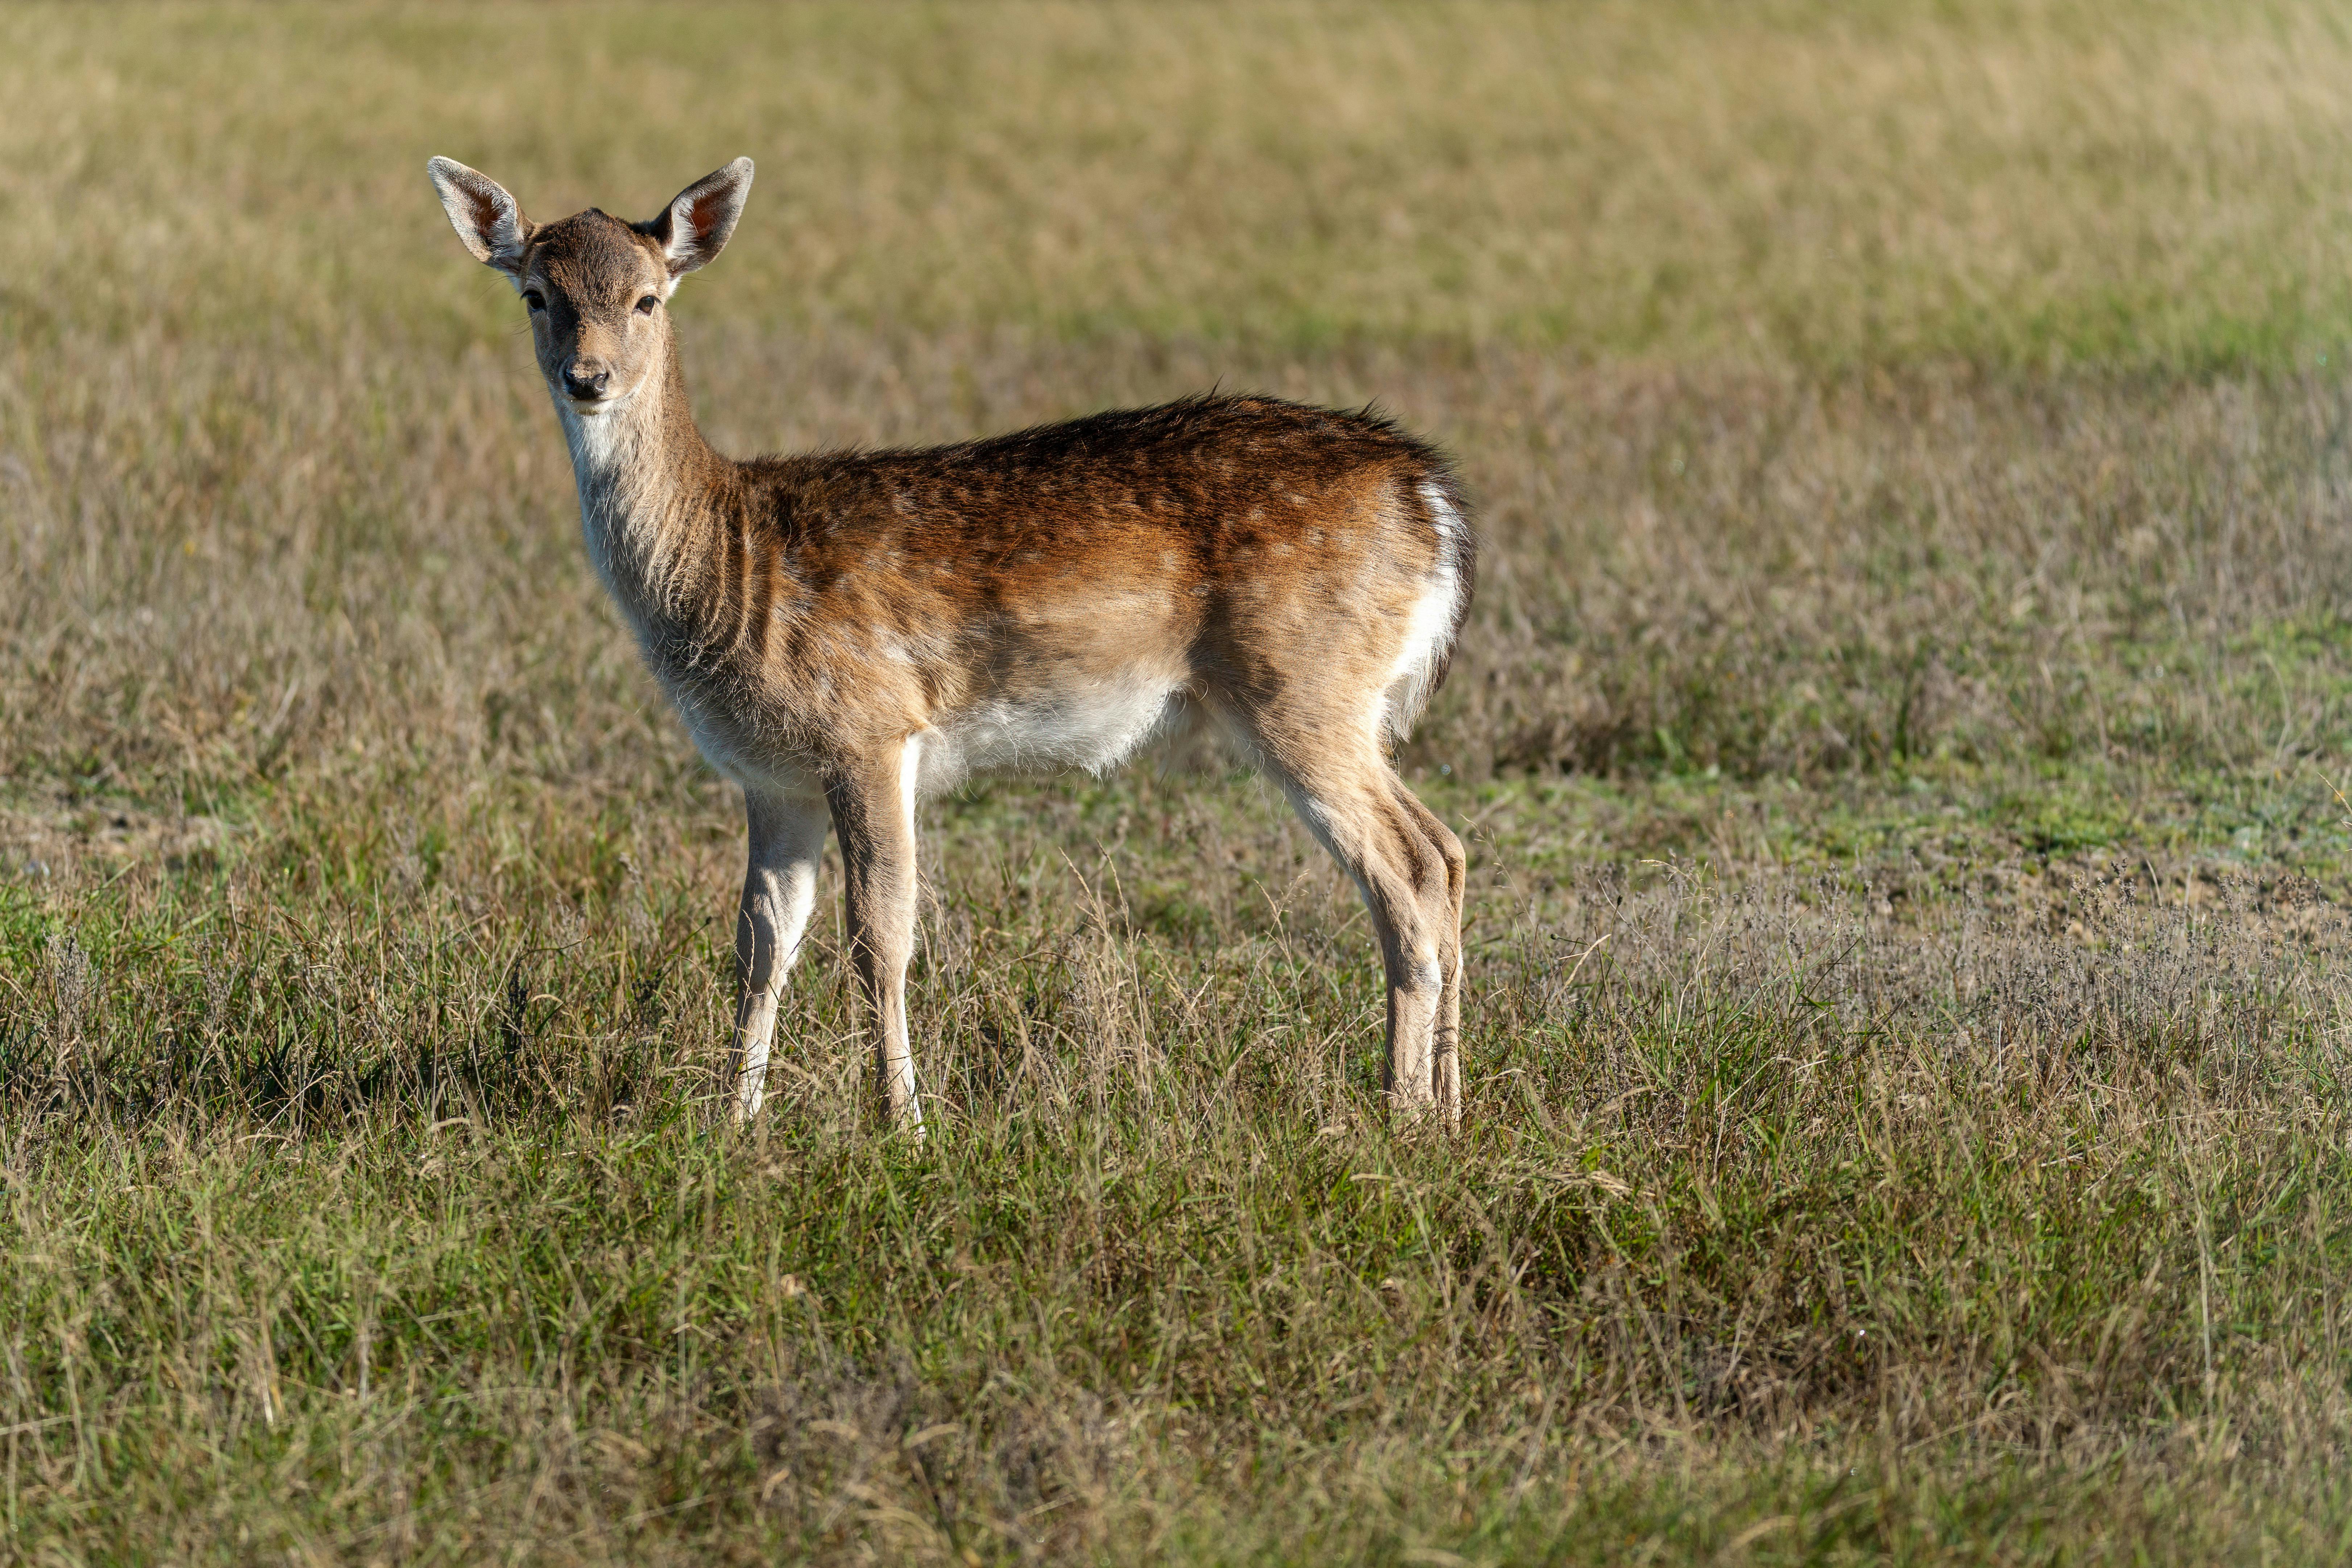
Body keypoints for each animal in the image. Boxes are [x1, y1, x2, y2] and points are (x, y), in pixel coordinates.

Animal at [426, 156, 1476, 1134]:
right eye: (537, 294)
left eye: (647, 296)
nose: (588, 378)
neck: (730, 563)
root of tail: (1431, 499)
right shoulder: (770, 774)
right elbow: (760, 944)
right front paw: (730, 1121)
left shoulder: (869, 726)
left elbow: (879, 935)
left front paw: (903, 1124)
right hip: (1334, 696)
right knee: (1450, 850)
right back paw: (1453, 1106)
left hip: (1302, 682)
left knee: (1409, 866)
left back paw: (1400, 1109)